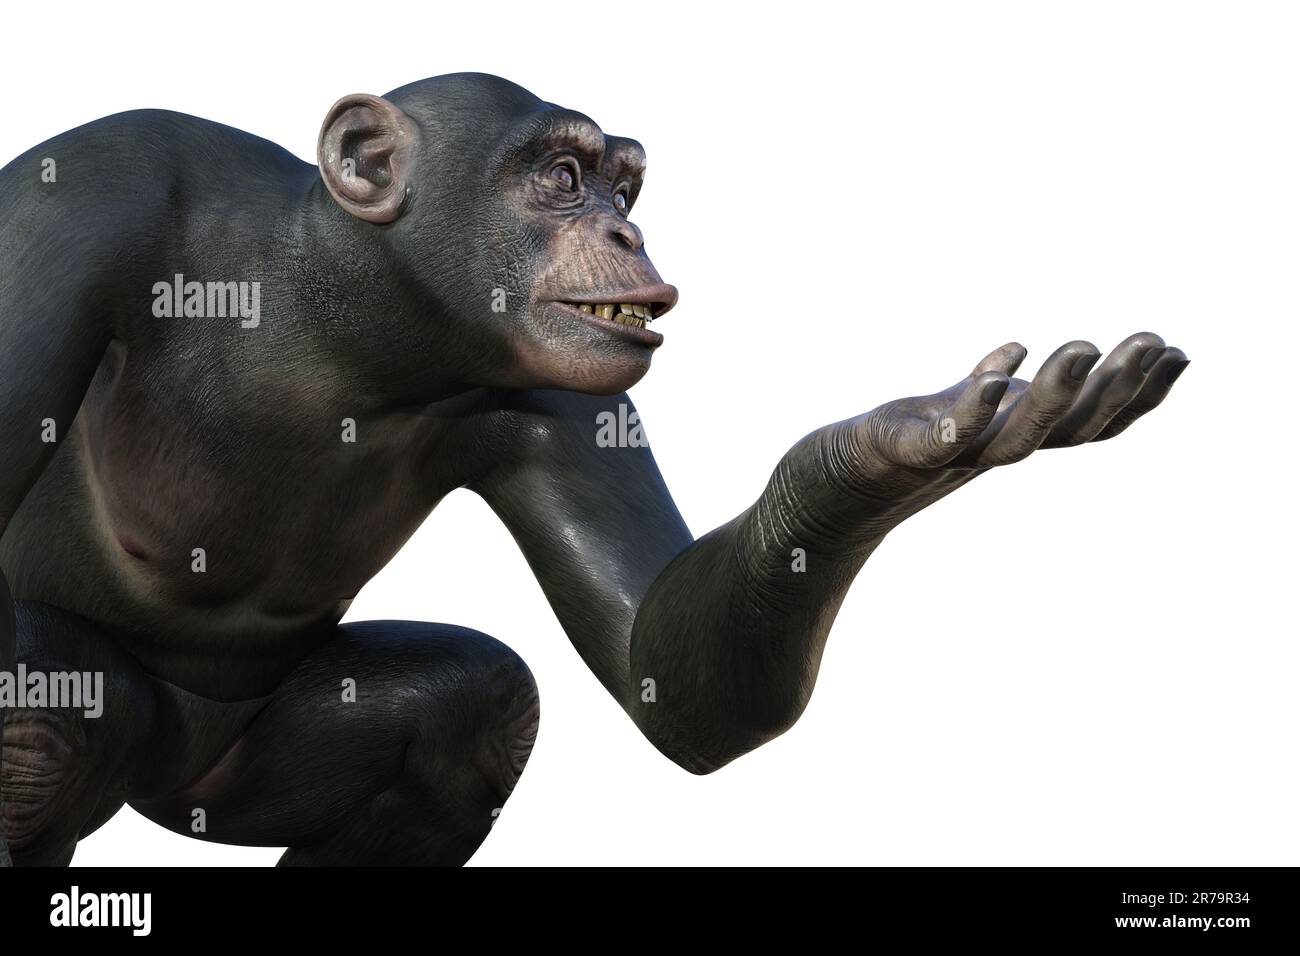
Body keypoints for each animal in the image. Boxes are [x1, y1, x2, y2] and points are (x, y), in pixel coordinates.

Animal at [0, 72, 1188, 866]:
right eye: (562, 178)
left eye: (625, 185)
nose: (625, 230)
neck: (329, 312)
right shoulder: (80, 201)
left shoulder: (570, 395)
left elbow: (662, 671)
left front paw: (888, 448)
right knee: (44, 717)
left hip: (228, 775)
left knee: (473, 707)